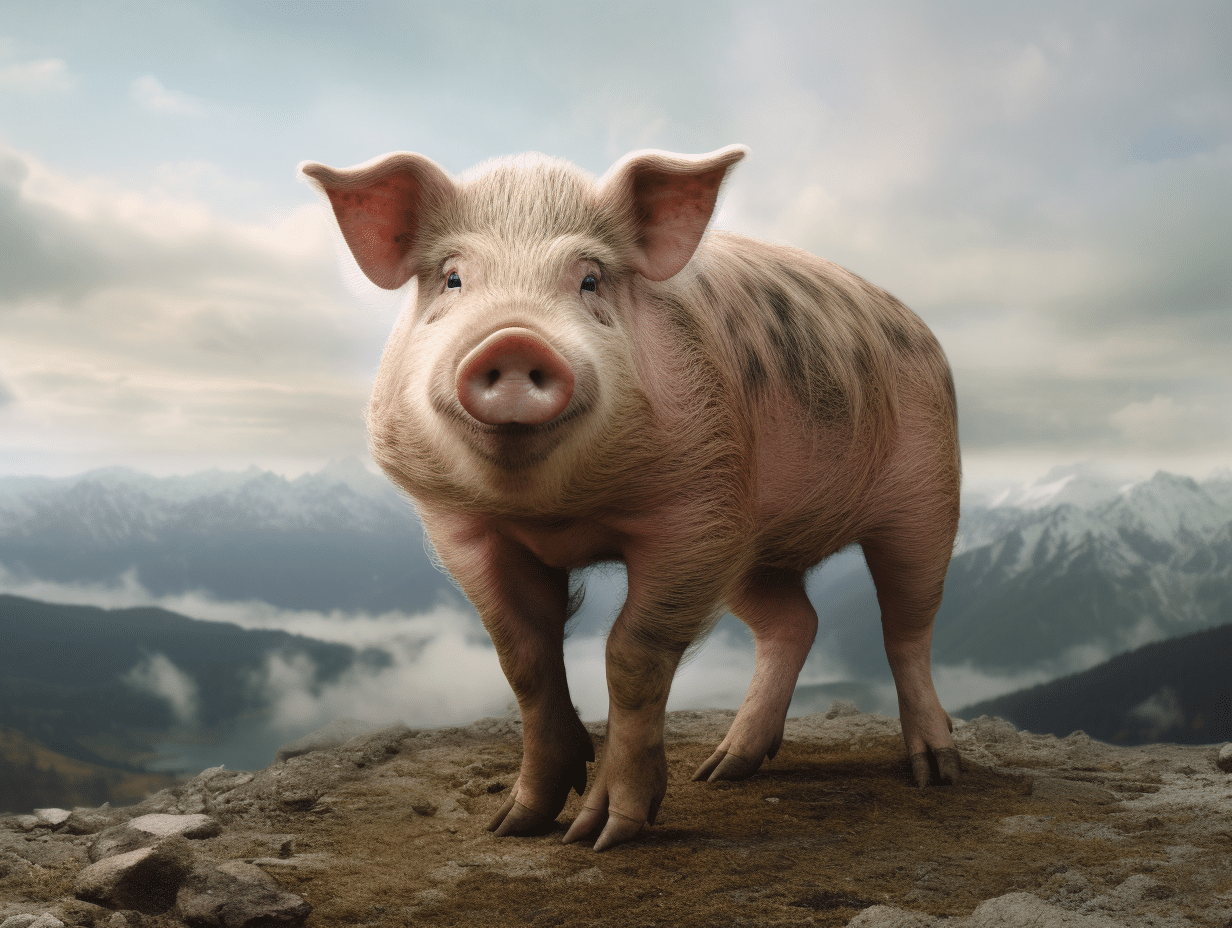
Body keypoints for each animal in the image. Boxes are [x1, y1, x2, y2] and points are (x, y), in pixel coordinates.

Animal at [300, 145, 961, 852]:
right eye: (452, 278)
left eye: (590, 279)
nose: (513, 340)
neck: (557, 513)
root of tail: (913, 320)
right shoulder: (461, 525)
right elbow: (523, 657)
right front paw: (515, 823)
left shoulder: (695, 511)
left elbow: (631, 654)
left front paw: (599, 835)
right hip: (751, 547)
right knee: (795, 622)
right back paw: (723, 769)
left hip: (928, 492)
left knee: (907, 628)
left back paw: (936, 772)